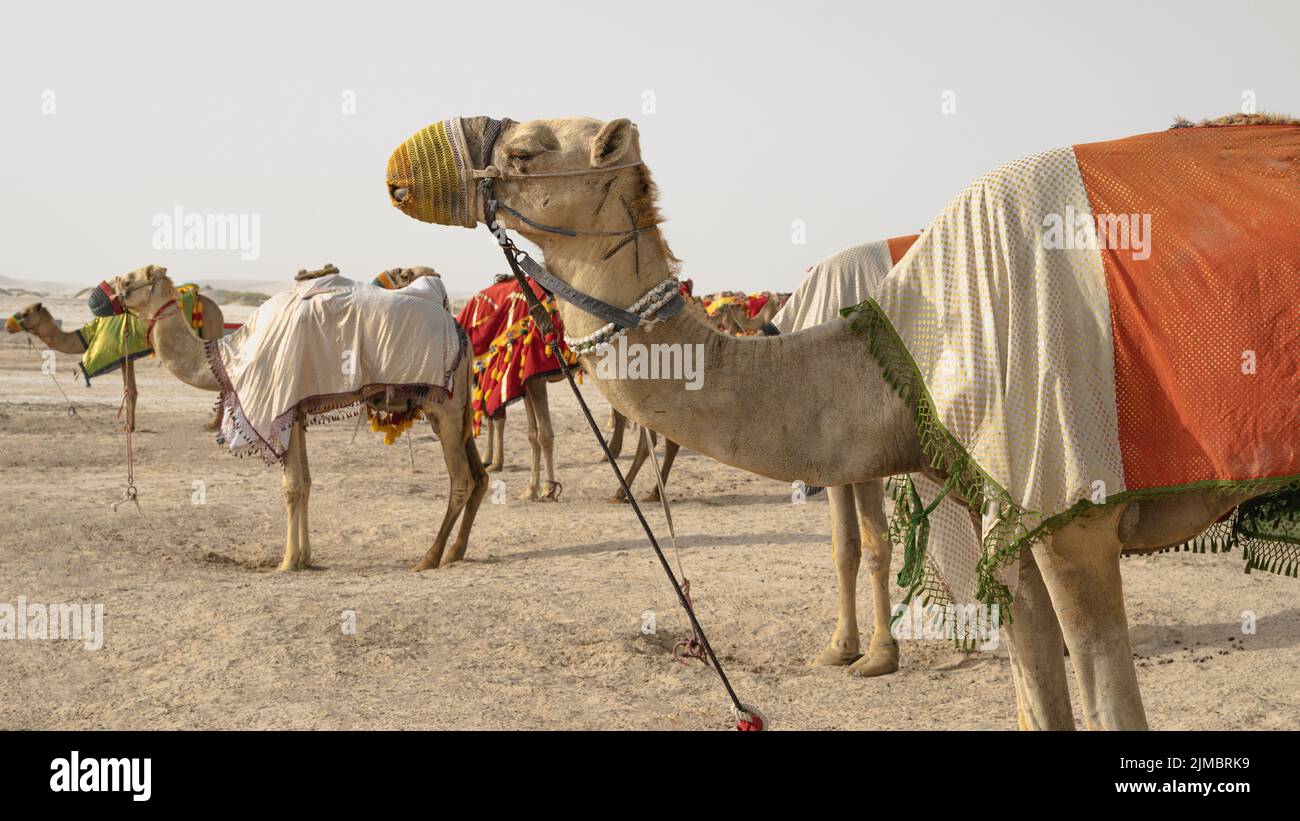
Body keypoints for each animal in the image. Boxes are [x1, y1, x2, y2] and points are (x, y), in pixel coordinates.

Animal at [6, 298, 226, 431]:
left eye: (25, 313)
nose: (7, 325)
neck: (89, 333)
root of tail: (218, 311)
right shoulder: (126, 355)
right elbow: (131, 389)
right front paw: (131, 425)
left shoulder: (121, 351)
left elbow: (130, 390)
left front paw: (128, 427)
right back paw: (215, 424)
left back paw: (213, 425)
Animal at [111, 264, 488, 573]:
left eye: (128, 279)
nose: (110, 294)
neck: (230, 356)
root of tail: (458, 328)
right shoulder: (296, 413)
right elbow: (305, 482)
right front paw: (305, 557)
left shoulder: (281, 405)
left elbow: (291, 486)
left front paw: (287, 562)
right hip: (460, 410)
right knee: (480, 476)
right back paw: (455, 551)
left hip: (443, 408)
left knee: (461, 480)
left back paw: (430, 557)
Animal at [388, 114, 1289, 729]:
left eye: (525, 151)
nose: (399, 168)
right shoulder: (994, 499)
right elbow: (1031, 688)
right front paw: (847, 649)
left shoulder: (1072, 504)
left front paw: (872, 657)